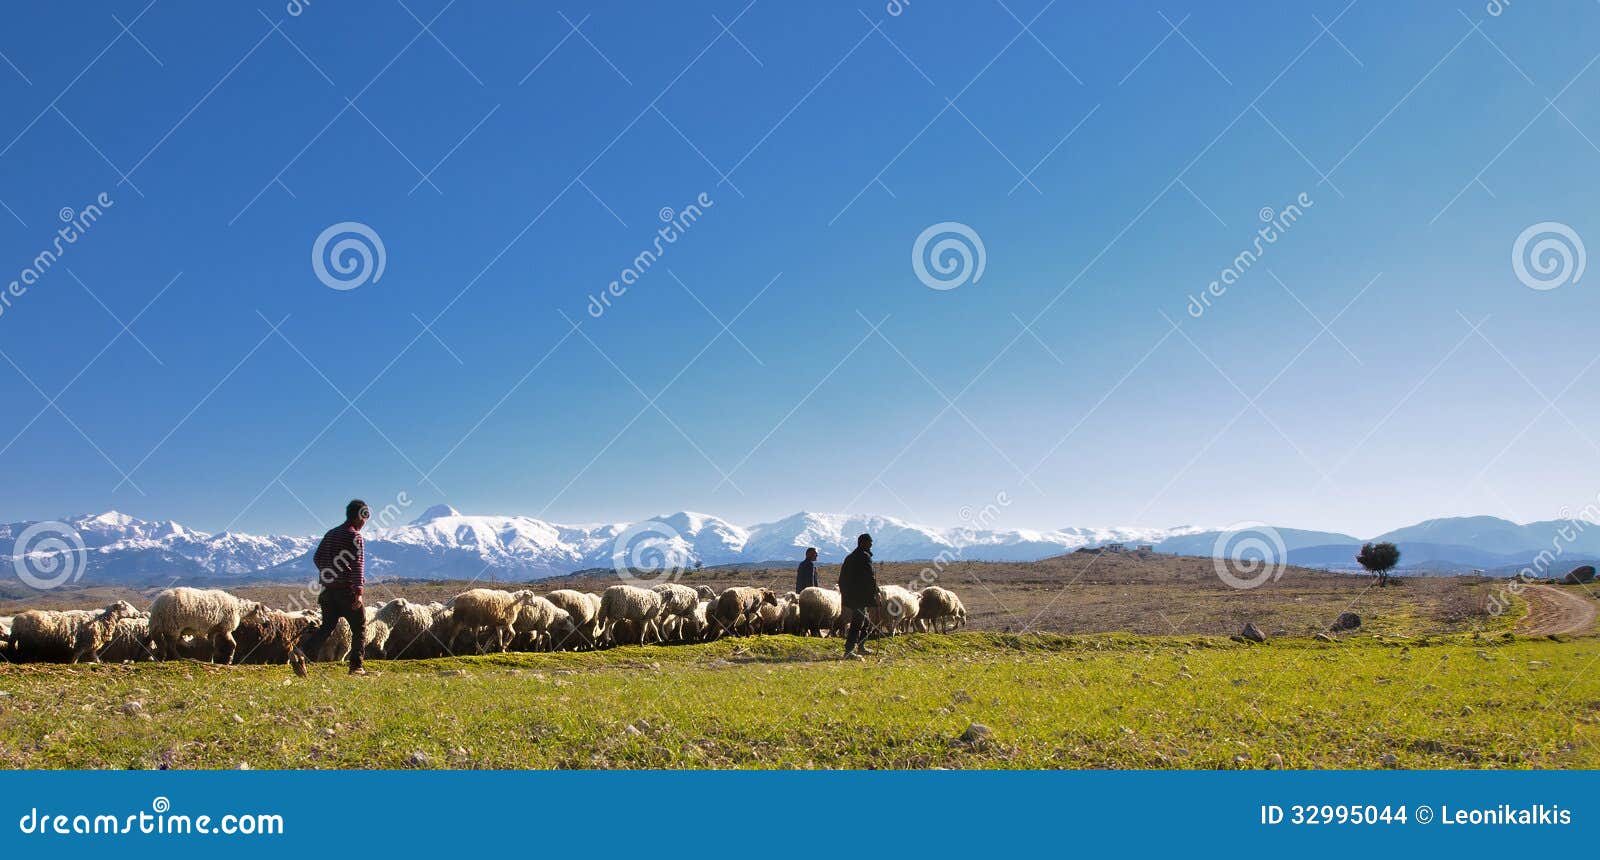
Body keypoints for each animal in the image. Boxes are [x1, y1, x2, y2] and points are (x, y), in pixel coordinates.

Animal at [8, 601, 141, 663]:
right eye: (126, 606)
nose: (138, 614)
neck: (102, 619)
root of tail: (16, 621)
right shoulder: (82, 645)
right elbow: (75, 658)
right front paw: (72, 664)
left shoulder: (91, 646)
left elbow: (95, 658)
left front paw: (99, 663)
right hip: (28, 643)